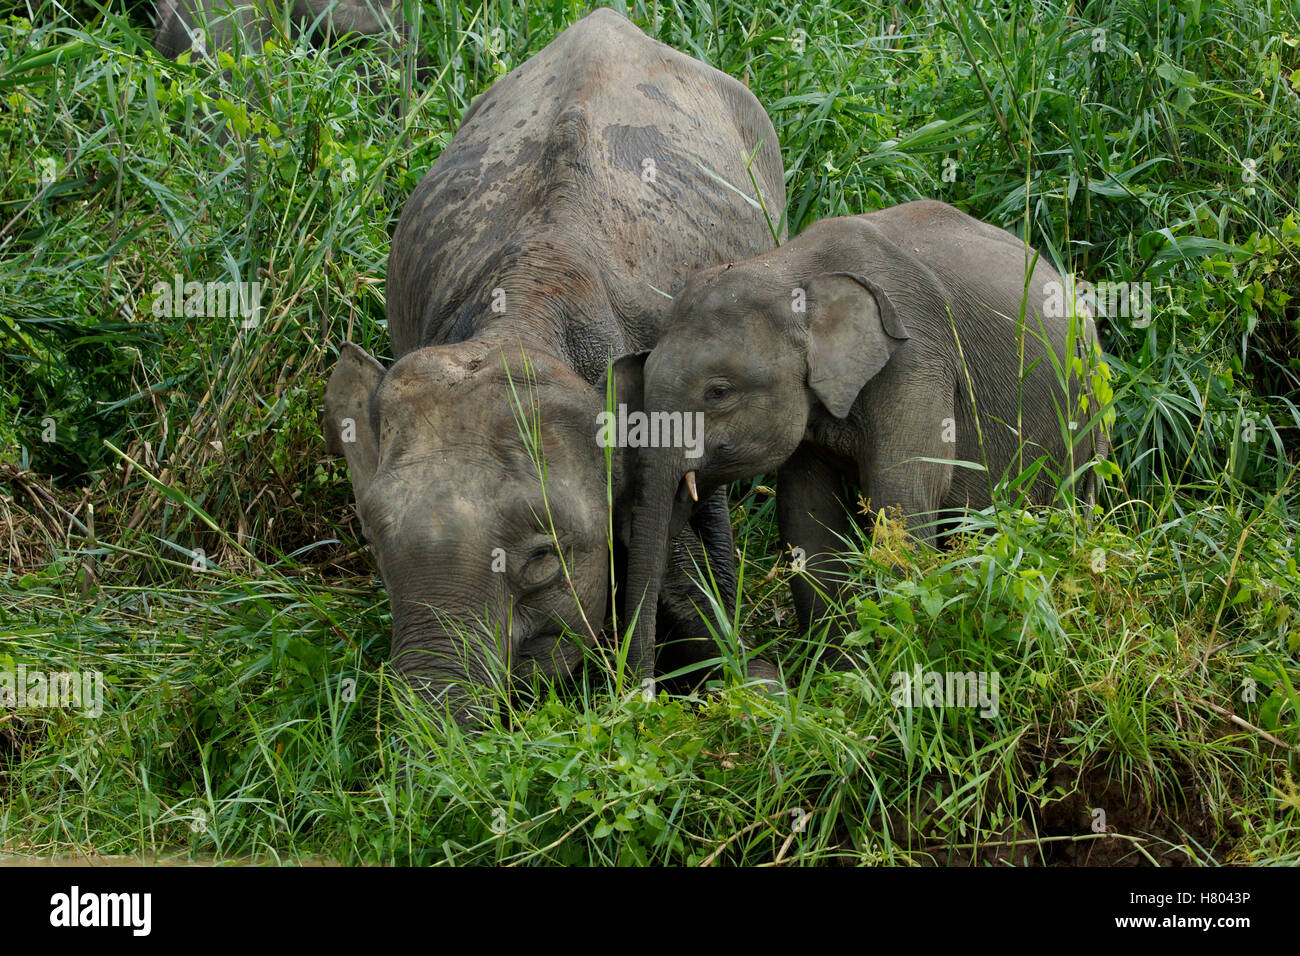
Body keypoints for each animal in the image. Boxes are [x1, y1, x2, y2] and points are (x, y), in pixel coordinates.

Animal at [612, 200, 1110, 668]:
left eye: (717, 392)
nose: (642, 688)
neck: (790, 270)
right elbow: (807, 513)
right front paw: (838, 672)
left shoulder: (917, 359)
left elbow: (902, 495)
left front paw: (892, 667)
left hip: (1084, 423)